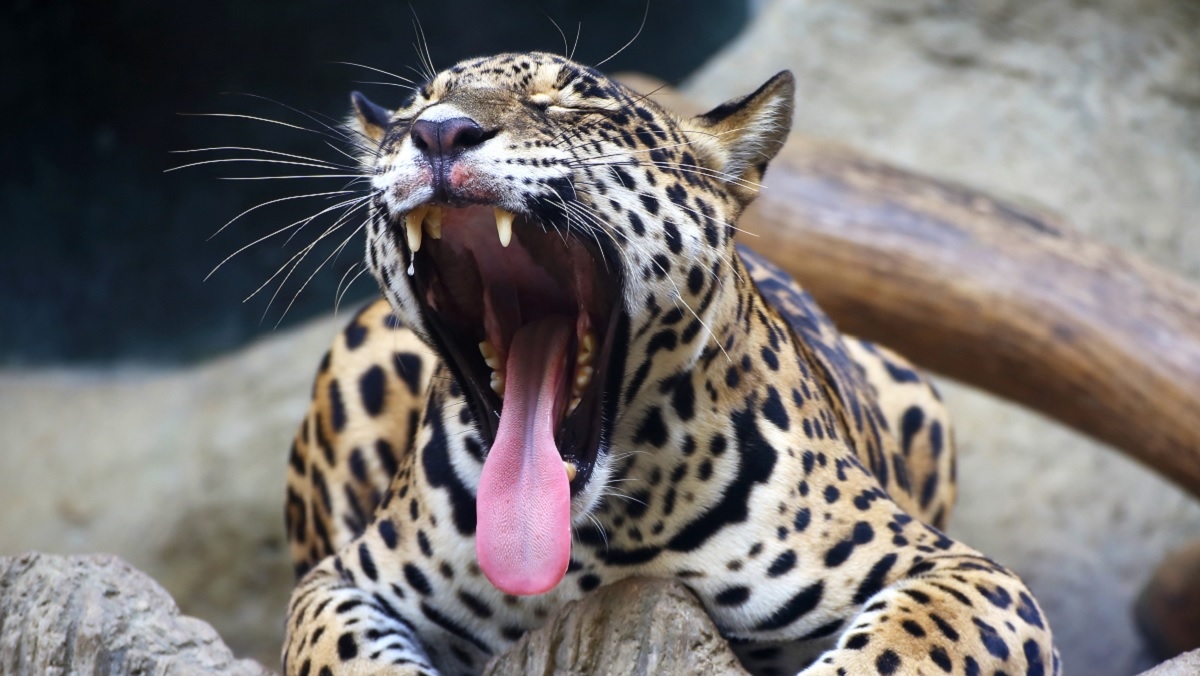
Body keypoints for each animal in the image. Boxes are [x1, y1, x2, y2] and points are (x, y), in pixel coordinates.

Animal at [279, 51, 1058, 676]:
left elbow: (897, 651)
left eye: (567, 103)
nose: (439, 132)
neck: (597, 549)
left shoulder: (966, 575)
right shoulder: (339, 584)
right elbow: (342, 656)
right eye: (411, 112)